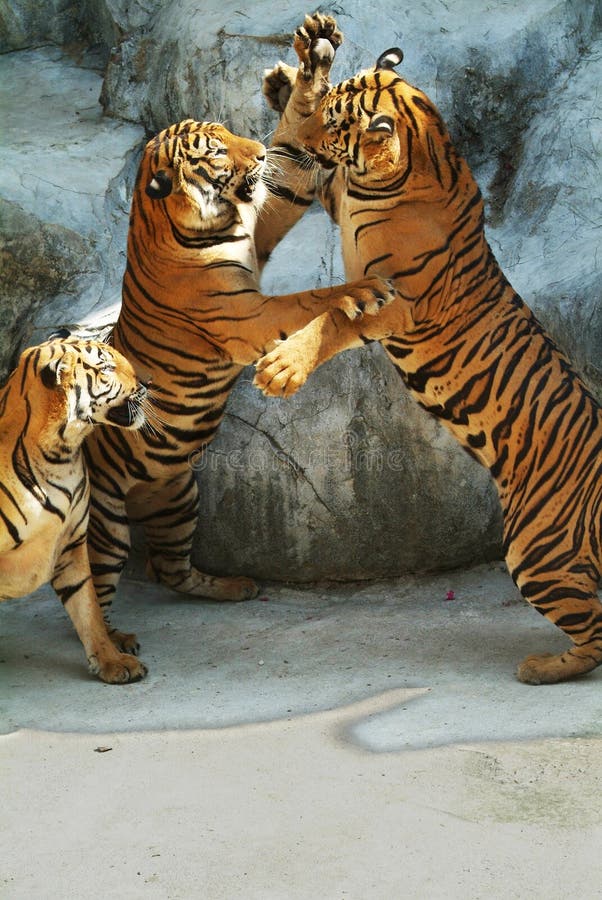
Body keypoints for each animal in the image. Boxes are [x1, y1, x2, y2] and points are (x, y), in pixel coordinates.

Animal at [0, 336, 149, 683]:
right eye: (106, 367)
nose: (146, 386)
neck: (59, 454)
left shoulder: (70, 543)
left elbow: (88, 609)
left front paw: (113, 662)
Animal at [83, 95, 394, 653]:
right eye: (215, 150)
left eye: (226, 132)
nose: (259, 152)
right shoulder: (249, 316)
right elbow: (308, 299)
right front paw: (361, 290)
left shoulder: (260, 235)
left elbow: (288, 184)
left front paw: (305, 90)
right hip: (108, 525)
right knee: (91, 592)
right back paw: (117, 646)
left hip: (178, 497)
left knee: (168, 569)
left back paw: (234, 587)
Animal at [254, 28, 602, 685]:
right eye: (330, 106)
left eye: (335, 122)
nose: (313, 140)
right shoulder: (335, 194)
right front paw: (289, 81)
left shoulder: (399, 300)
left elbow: (333, 321)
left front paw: (283, 367)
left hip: (537, 550)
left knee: (596, 632)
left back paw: (541, 667)